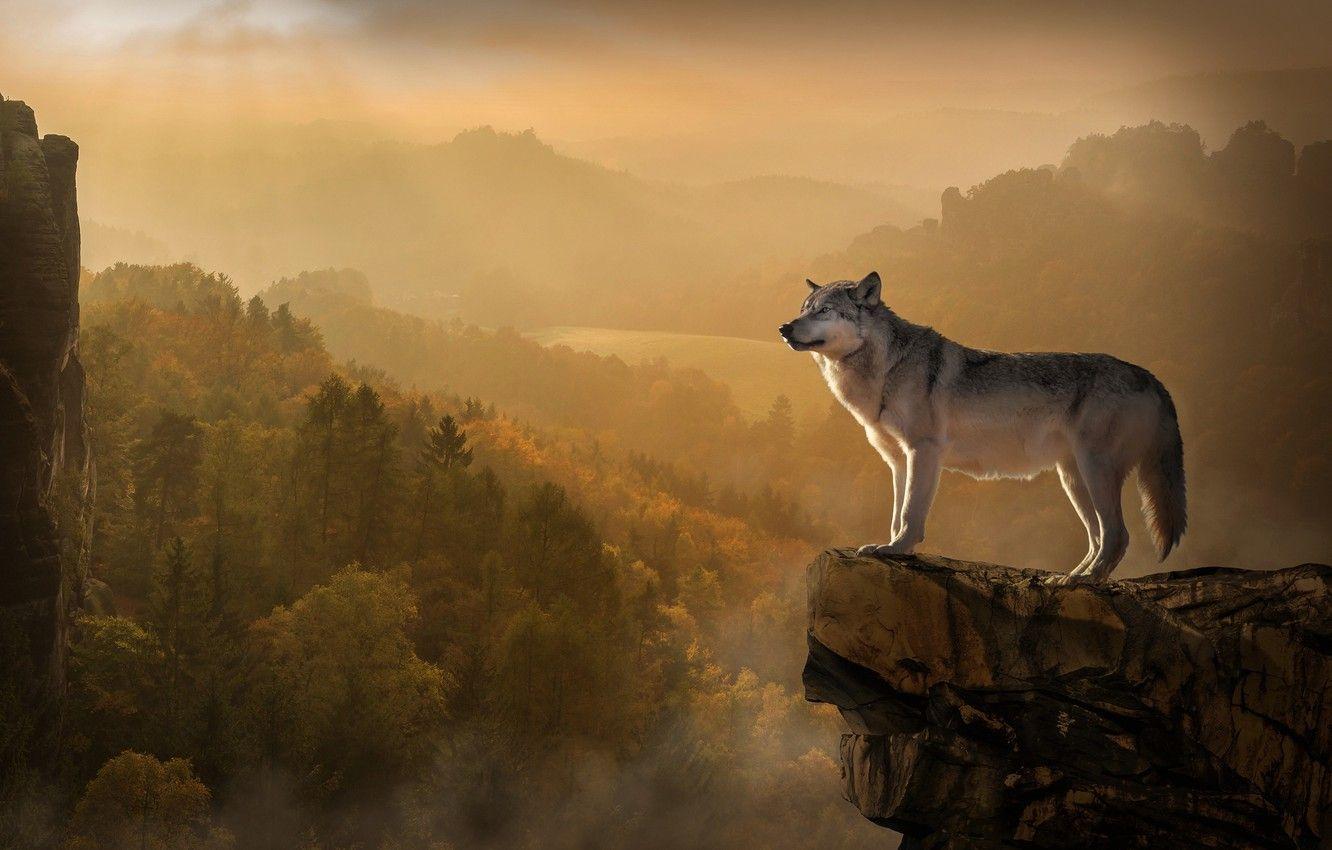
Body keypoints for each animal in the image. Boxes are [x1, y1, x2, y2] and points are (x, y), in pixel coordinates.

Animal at [780, 272, 1186, 583]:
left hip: (1094, 471)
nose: (783, 327)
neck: (886, 368)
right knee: (1098, 537)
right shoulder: (897, 460)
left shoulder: (923, 451)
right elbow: (896, 514)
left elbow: (910, 513)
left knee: (1117, 535)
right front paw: (890, 547)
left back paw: (1084, 582)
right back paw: (1069, 577)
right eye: (803, 309)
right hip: (1072, 479)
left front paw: (898, 549)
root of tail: (1150, 377)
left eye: (824, 310)